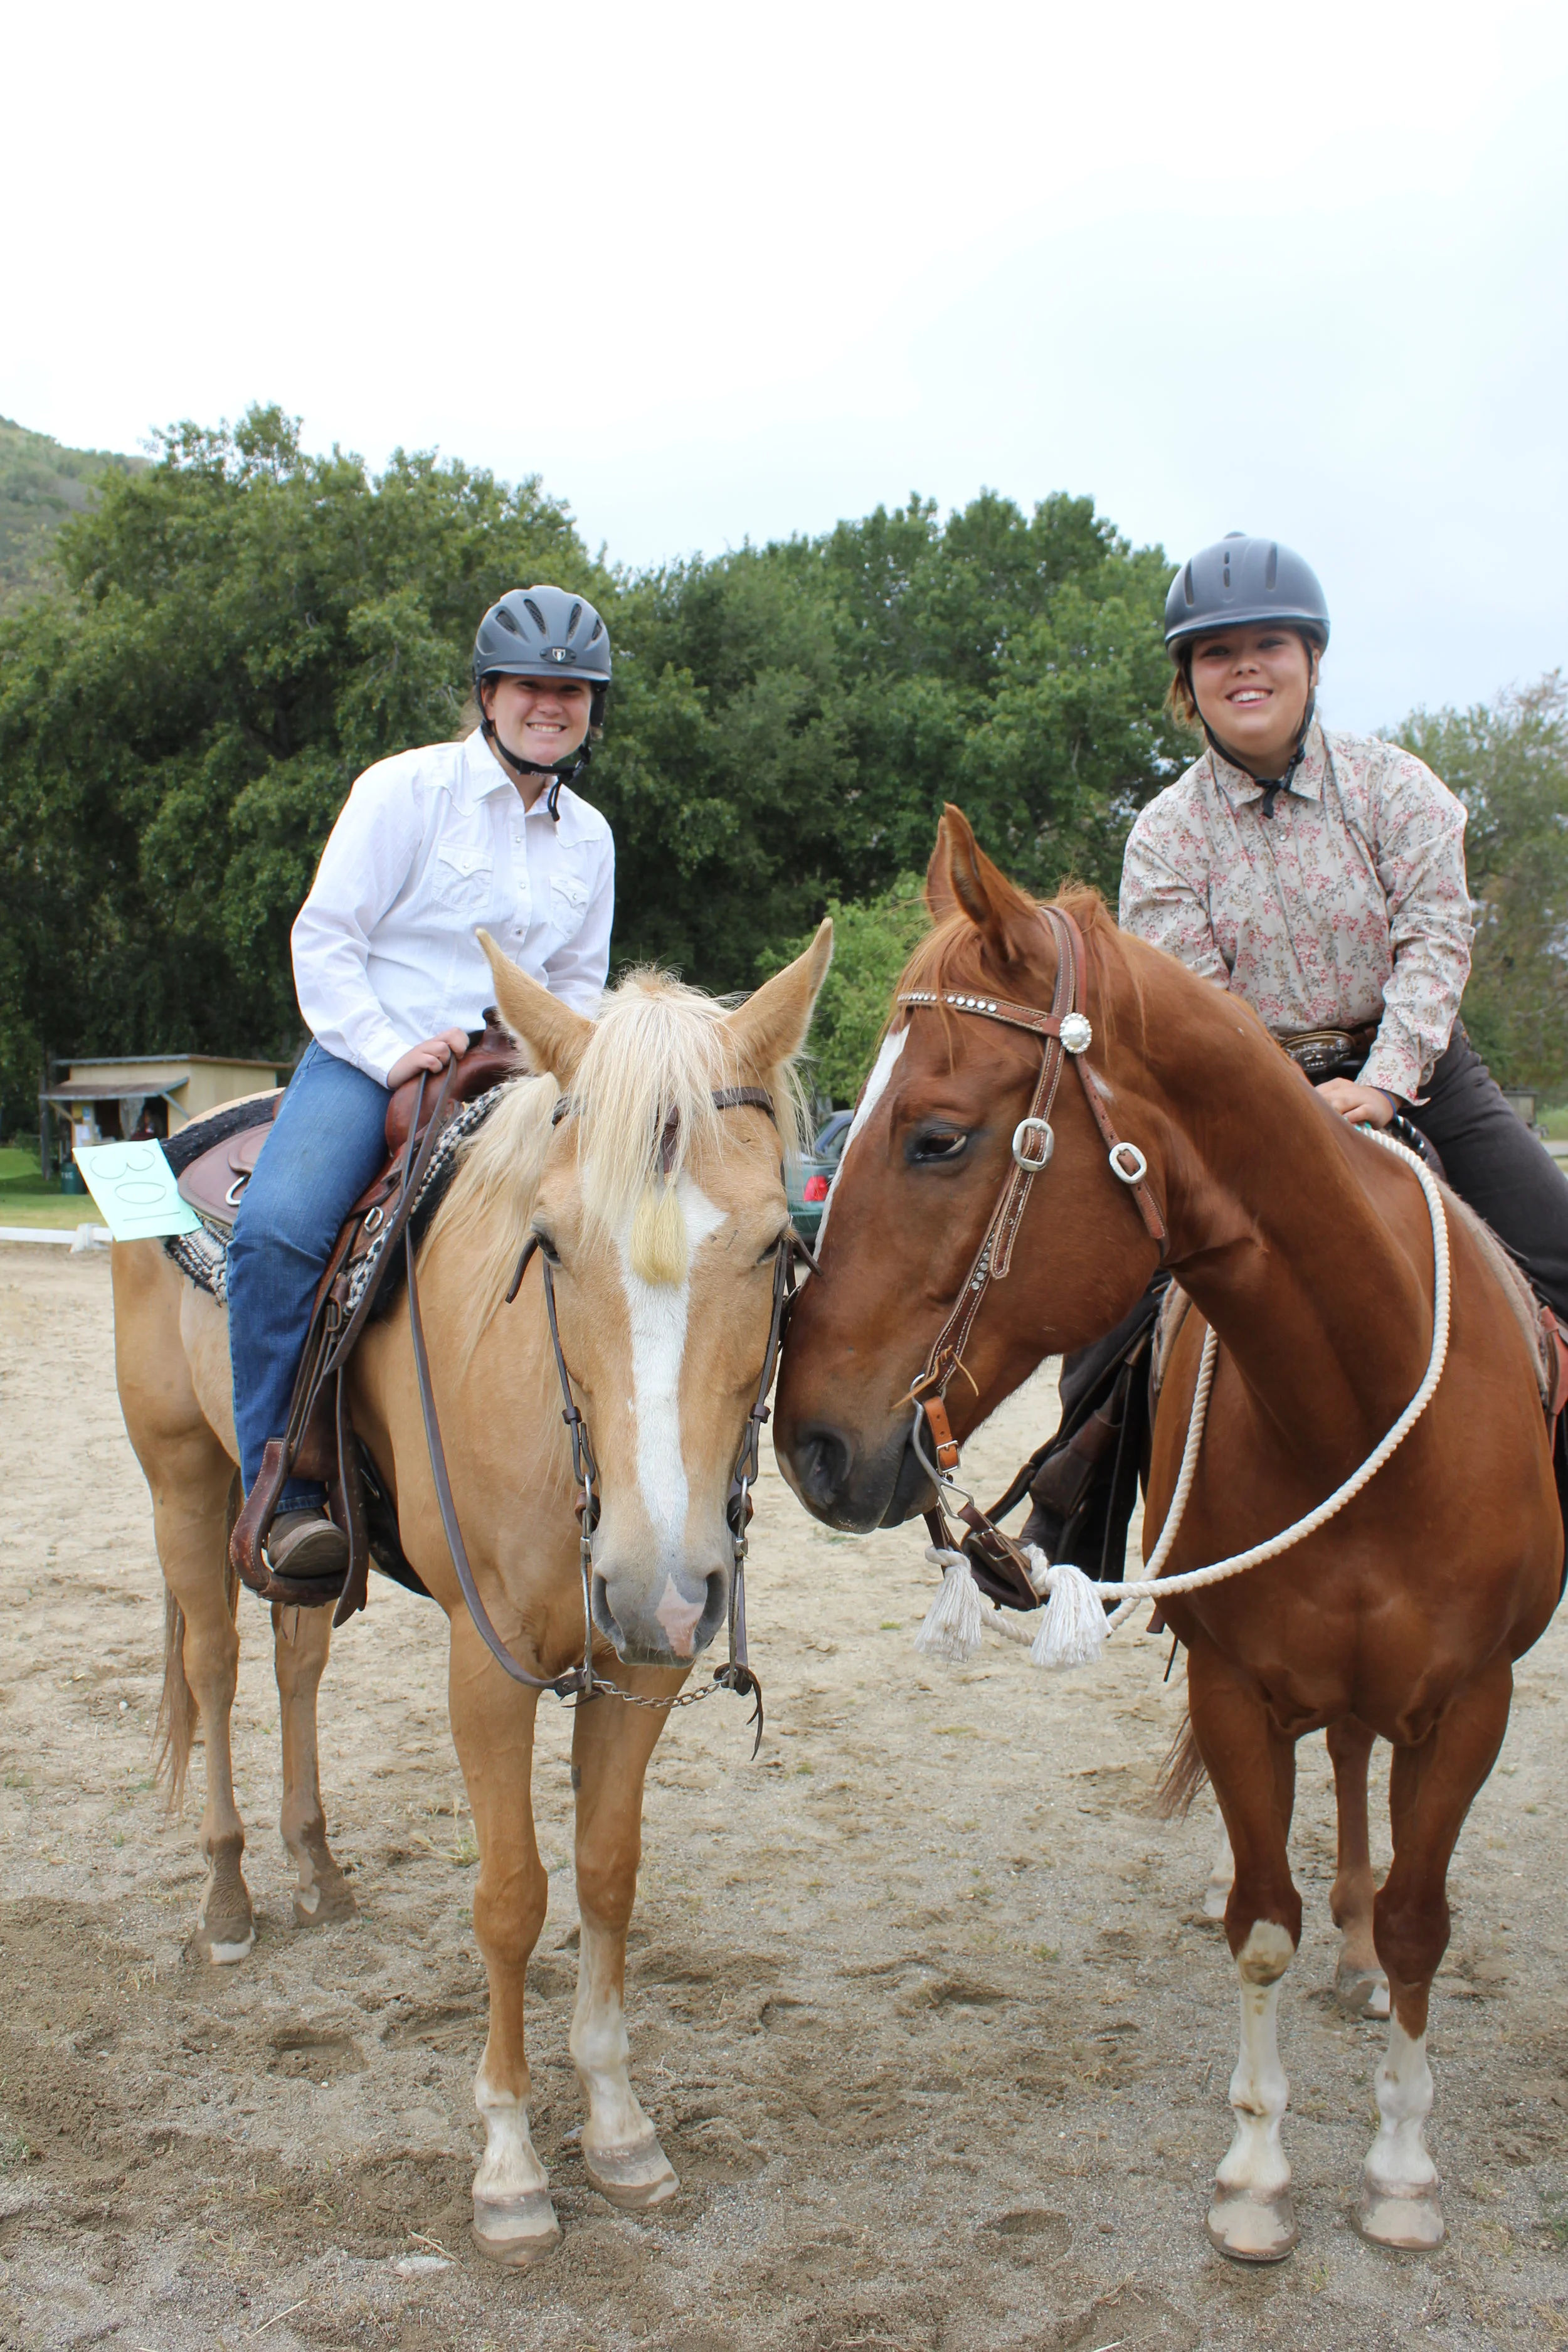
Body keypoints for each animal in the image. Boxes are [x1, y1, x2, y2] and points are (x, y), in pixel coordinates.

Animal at [112, 921, 831, 2263]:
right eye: (547, 1243)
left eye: (775, 1243)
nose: (658, 1577)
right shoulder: (485, 1666)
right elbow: (510, 1896)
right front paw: (507, 2164)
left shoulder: (640, 1660)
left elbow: (606, 1874)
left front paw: (619, 2128)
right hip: (183, 1483)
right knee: (216, 1671)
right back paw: (231, 1897)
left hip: (310, 1543)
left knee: (295, 1663)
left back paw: (319, 1871)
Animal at [773, 805, 1560, 2262]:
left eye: (936, 1138)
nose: (810, 1445)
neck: (1357, 1398)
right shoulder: (1237, 1691)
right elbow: (1259, 1924)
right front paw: (1255, 2173)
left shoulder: (1473, 1702)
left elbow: (1424, 1925)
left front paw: (1402, 2169)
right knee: (1339, 1771)